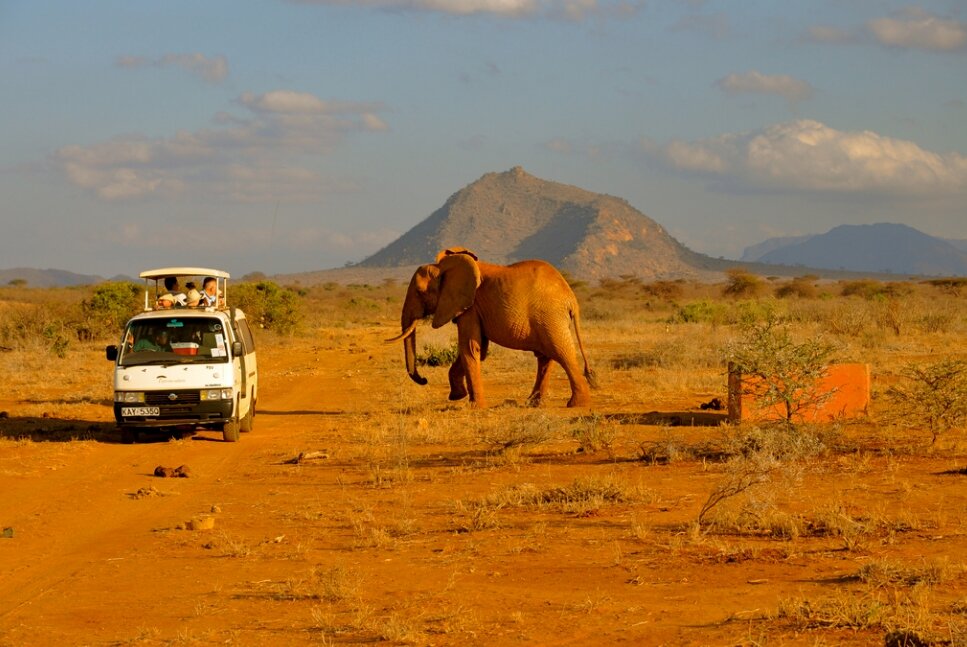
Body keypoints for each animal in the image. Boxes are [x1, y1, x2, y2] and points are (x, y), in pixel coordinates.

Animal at [388, 249, 596, 408]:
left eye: (419, 292)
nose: (424, 380)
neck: (444, 268)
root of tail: (571, 297)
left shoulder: (470, 306)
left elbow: (470, 347)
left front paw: (475, 407)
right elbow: (478, 349)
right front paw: (458, 397)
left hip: (550, 317)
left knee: (561, 352)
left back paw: (576, 404)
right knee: (545, 357)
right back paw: (533, 404)